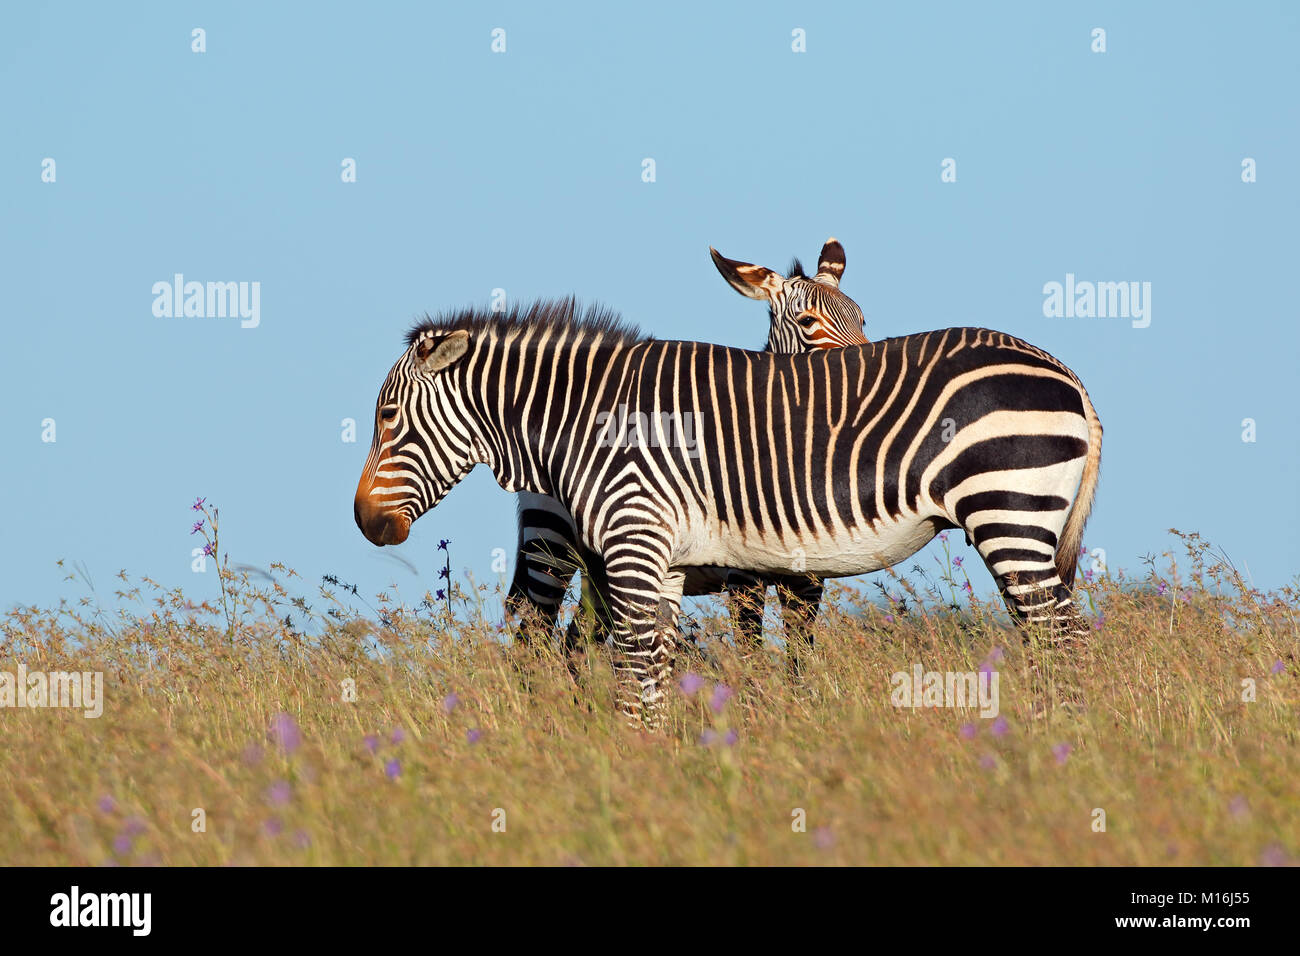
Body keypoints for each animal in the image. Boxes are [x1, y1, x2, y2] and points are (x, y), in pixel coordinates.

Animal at [354, 302, 1102, 728]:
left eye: (386, 417)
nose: (365, 523)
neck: (586, 418)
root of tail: (1066, 372)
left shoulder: (634, 543)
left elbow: (634, 666)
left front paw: (634, 765)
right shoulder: (661, 560)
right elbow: (652, 666)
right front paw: (657, 764)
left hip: (1010, 511)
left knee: (1059, 637)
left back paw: (1060, 743)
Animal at [506, 239, 870, 667]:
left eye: (862, 320)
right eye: (808, 321)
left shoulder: (809, 575)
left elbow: (800, 655)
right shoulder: (742, 574)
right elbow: (750, 649)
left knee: (578, 640)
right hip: (550, 543)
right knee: (532, 634)